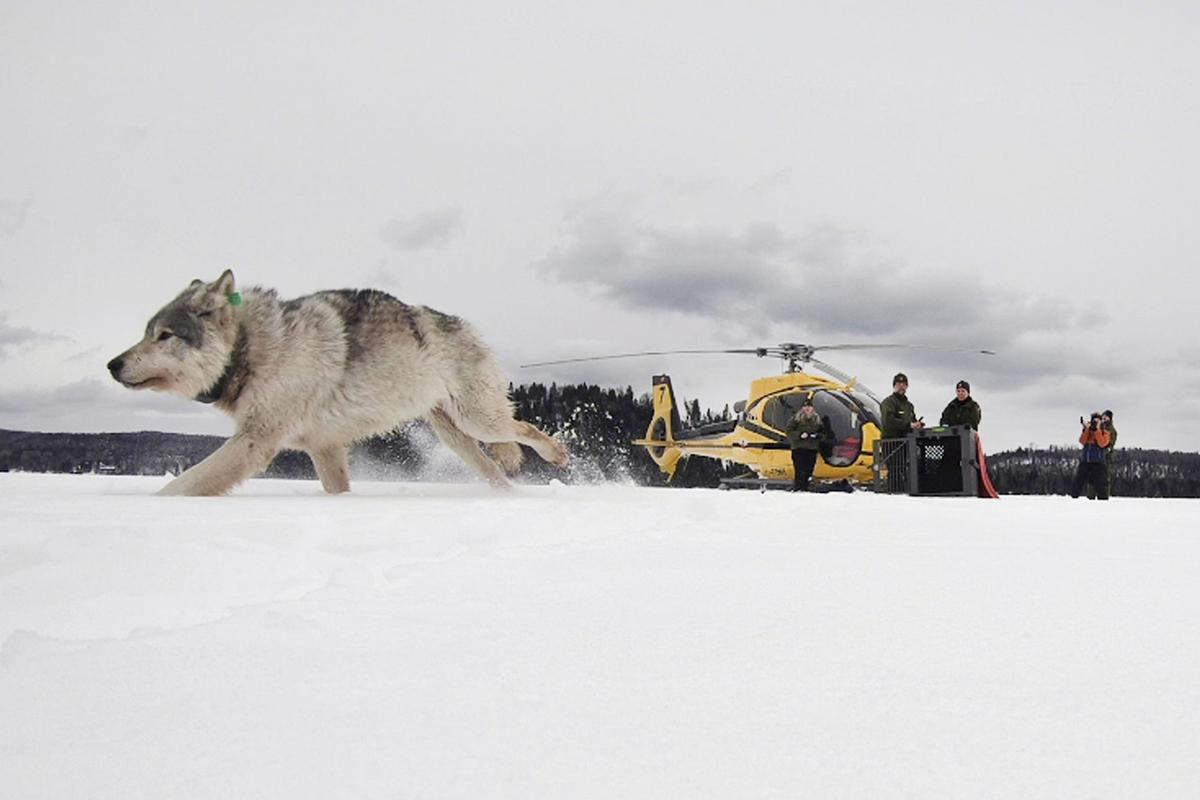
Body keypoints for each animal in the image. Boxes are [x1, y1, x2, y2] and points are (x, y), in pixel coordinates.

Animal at [107, 270, 568, 496]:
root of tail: (464, 324)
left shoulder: (255, 441)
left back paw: (558, 454)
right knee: (495, 469)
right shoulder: (324, 447)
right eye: (146, 332)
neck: (253, 348)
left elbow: (180, 486)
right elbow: (337, 490)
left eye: (164, 335)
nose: (112, 364)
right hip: (455, 437)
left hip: (479, 421)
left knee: (525, 429)